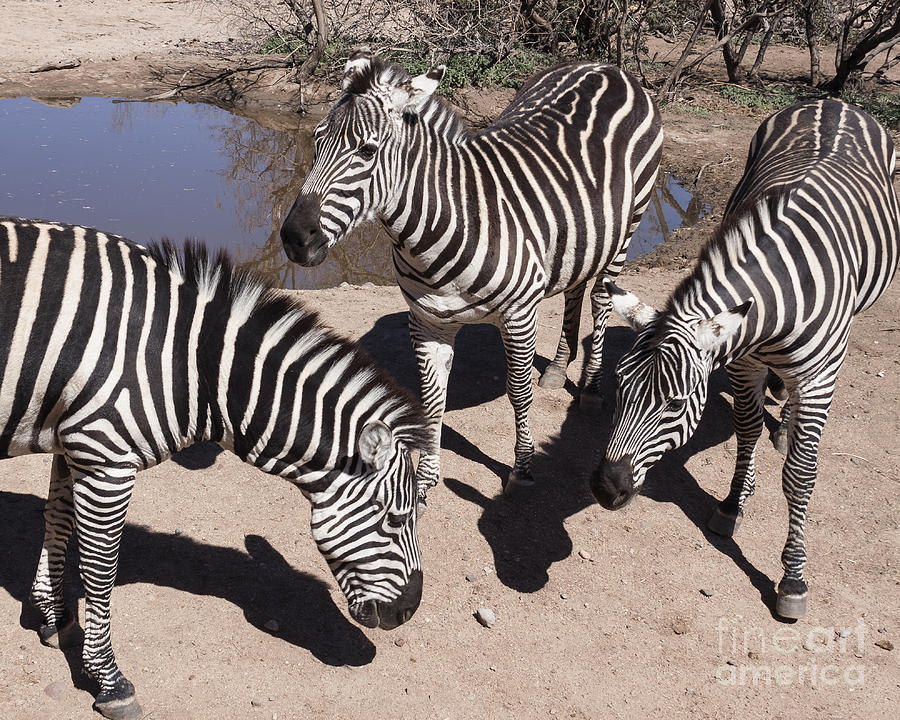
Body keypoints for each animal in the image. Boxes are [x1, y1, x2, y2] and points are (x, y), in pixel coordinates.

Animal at [0, 217, 428, 720]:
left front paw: (52, 618)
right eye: (397, 519)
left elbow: (58, 521)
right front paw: (109, 682)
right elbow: (101, 569)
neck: (187, 361)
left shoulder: (75, 441)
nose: (409, 611)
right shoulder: (105, 457)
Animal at [279, 49, 663, 506]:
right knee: (574, 288)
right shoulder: (427, 321)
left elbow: (518, 393)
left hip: (628, 227)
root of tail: (604, 66)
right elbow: (431, 399)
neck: (440, 228)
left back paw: (589, 387)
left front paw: (522, 471)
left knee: (600, 300)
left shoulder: (519, 316)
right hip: (584, 235)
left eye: (367, 151)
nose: (294, 238)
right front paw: (424, 480)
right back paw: (557, 368)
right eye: (316, 141)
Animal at [591, 99, 899, 618]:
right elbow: (747, 430)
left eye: (675, 404)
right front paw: (734, 501)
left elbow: (800, 475)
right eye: (619, 387)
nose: (605, 489)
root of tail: (833, 102)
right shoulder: (743, 362)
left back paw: (789, 422)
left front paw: (792, 579)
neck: (782, 293)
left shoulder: (819, 377)